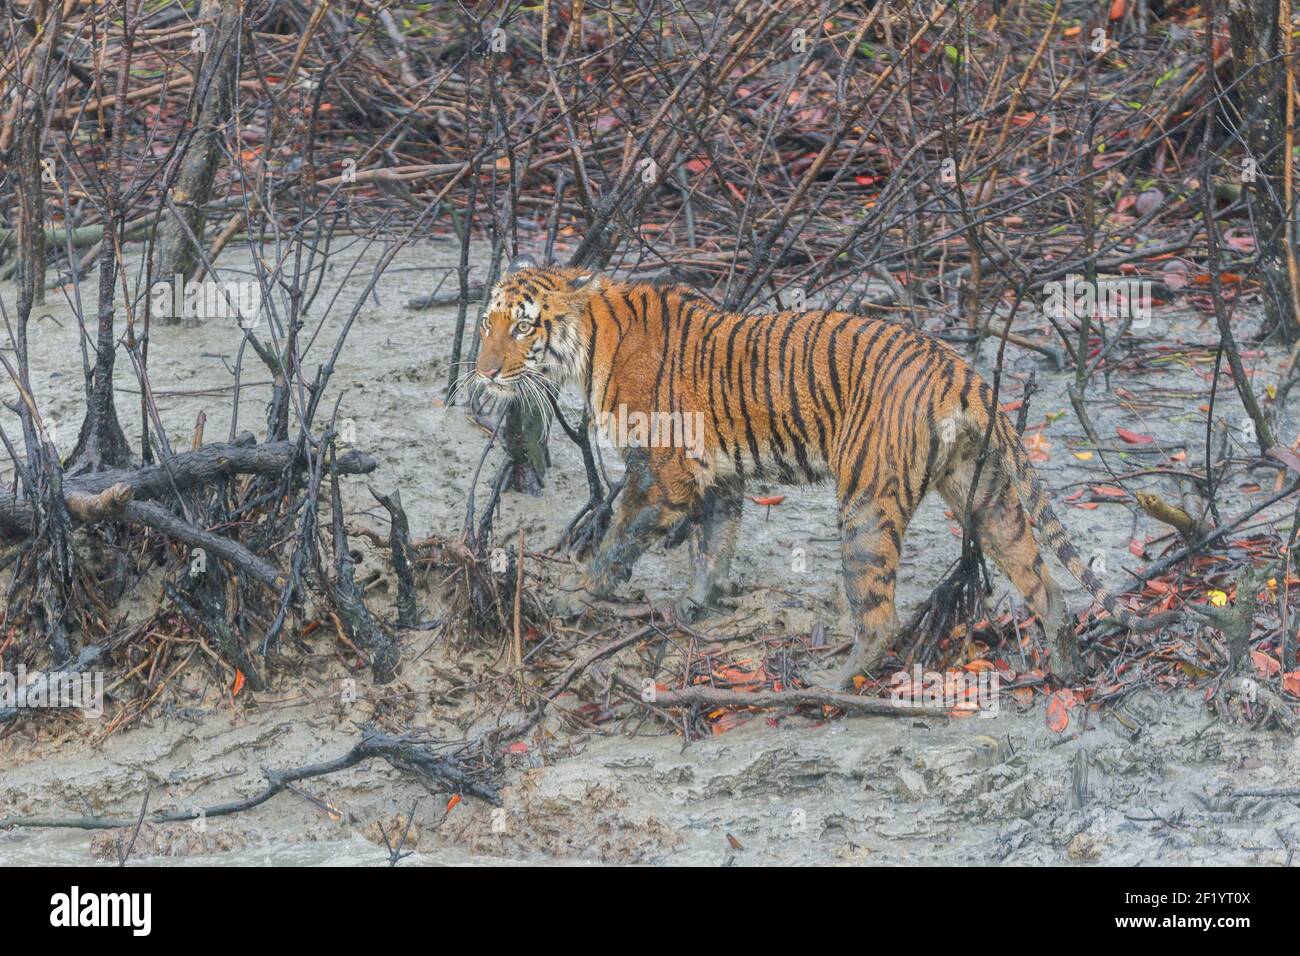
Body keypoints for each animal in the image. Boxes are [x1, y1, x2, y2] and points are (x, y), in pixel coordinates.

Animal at [472, 254, 1174, 688]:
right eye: (486, 323)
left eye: (523, 327)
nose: (482, 371)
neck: (587, 346)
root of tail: (960, 368)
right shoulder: (717, 478)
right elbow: (714, 544)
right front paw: (695, 604)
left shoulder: (663, 475)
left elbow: (620, 537)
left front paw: (581, 596)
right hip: (988, 495)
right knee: (1043, 582)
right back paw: (1067, 670)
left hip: (865, 501)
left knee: (880, 615)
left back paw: (831, 681)